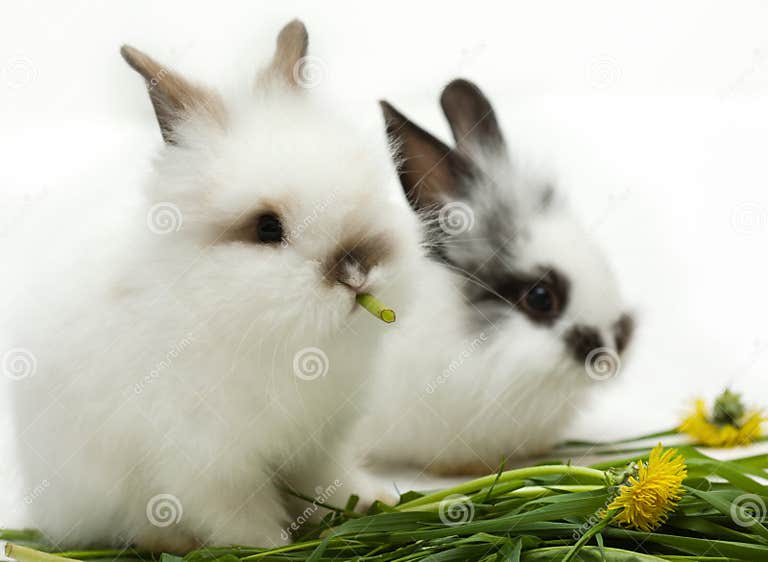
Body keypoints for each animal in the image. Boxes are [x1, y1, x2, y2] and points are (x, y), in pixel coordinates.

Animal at [8, 20, 423, 551]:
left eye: (372, 189)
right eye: (266, 227)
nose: (356, 271)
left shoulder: (319, 441)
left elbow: (329, 481)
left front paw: (373, 502)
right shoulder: (209, 460)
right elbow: (235, 513)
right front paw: (272, 546)